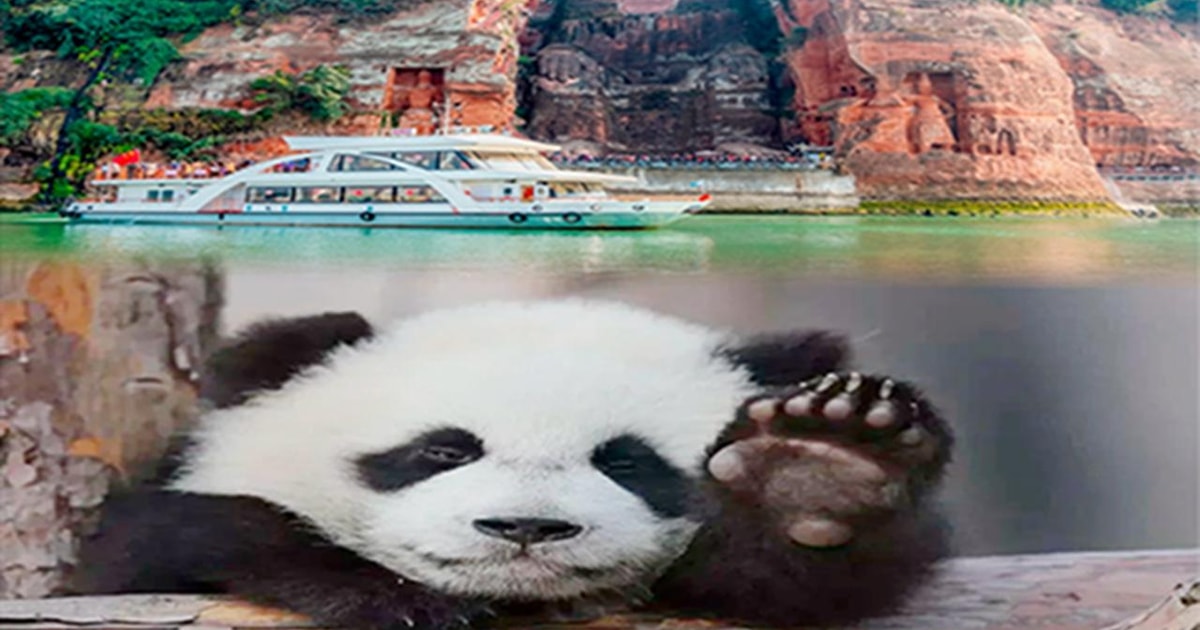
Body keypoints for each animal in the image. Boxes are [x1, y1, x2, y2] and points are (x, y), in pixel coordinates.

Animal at [76, 300, 953, 629]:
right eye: (442, 450)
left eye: (628, 462)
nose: (525, 527)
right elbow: (161, 543)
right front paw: (392, 598)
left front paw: (814, 472)